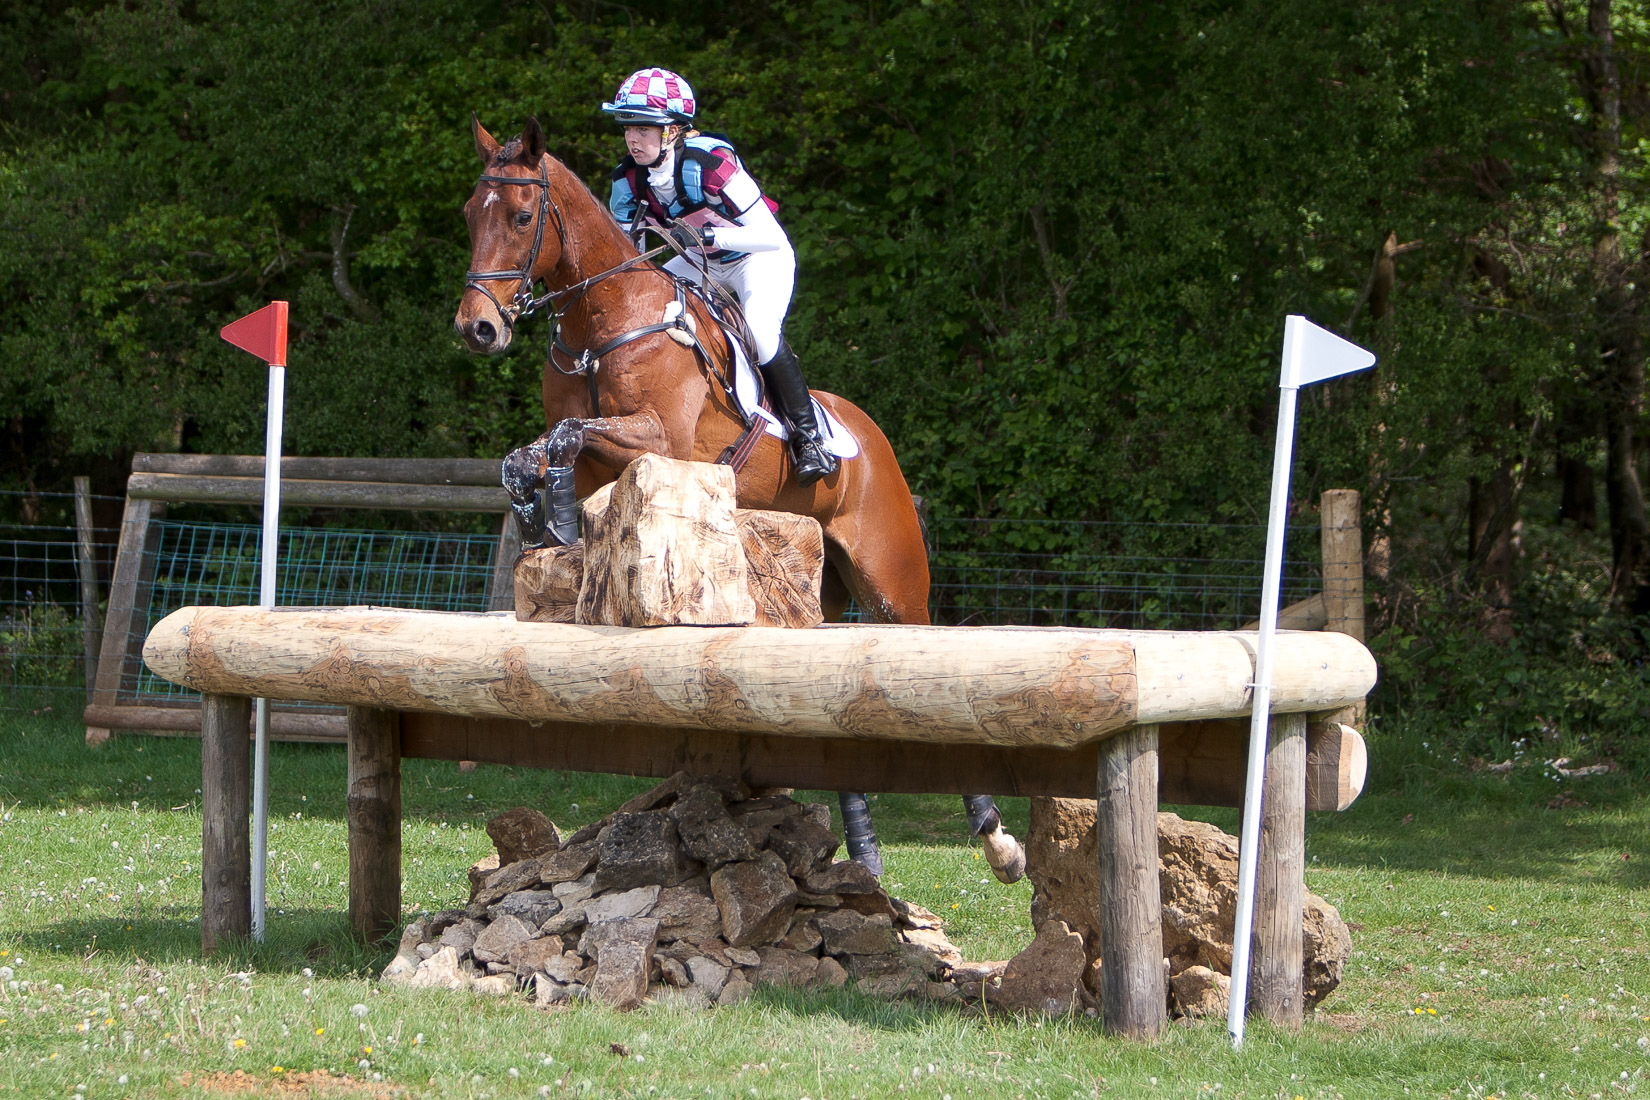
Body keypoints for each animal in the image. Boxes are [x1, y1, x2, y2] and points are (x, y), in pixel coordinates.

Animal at [452, 116, 1025, 883]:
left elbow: (570, 436)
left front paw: (561, 518)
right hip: (820, 589)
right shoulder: (602, 450)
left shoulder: (660, 439)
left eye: (520, 217)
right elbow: (533, 454)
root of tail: (872, 436)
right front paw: (550, 521)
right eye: (468, 216)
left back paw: (998, 841)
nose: (477, 328)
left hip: (894, 583)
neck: (605, 320)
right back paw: (866, 859)